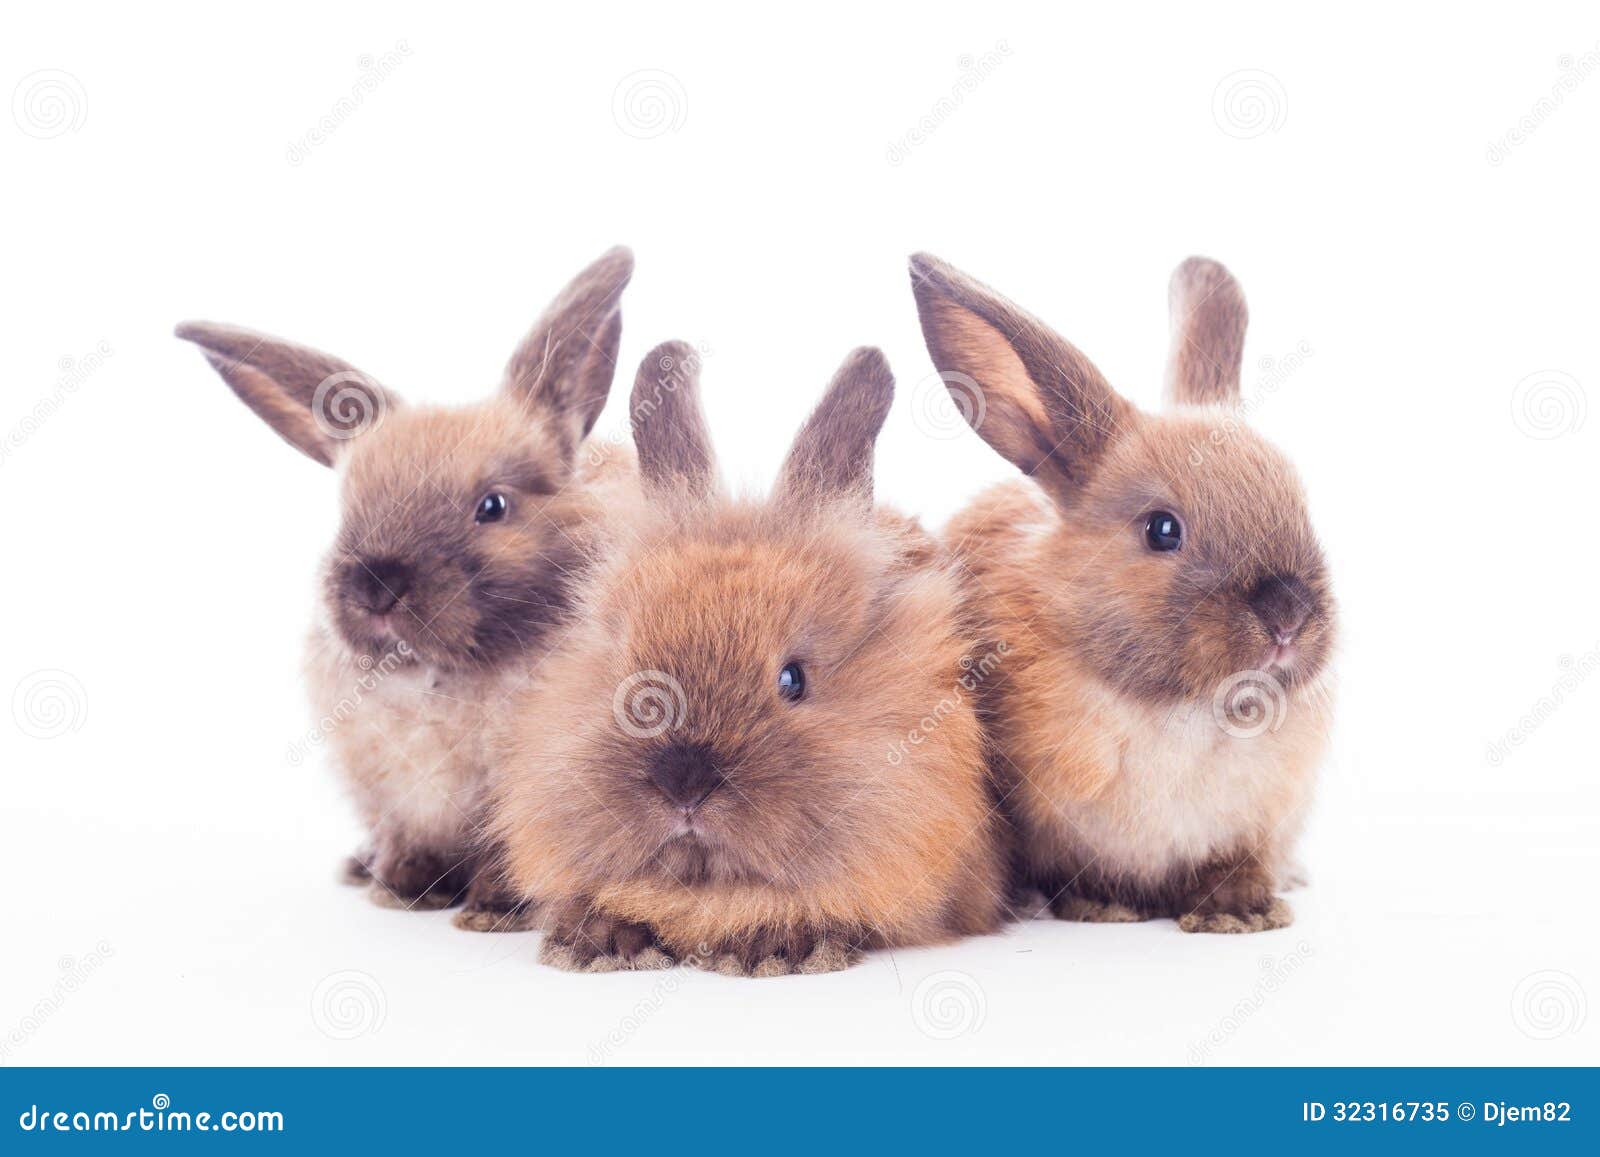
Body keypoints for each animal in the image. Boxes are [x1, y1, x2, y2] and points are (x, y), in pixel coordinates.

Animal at [175, 247, 641, 926]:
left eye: (493, 506)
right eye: (347, 509)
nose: (377, 586)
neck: (435, 674)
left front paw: (490, 911)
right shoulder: (394, 797)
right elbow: (408, 839)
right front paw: (402, 890)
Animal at [908, 252, 1335, 934]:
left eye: (1301, 505)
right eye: (1163, 529)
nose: (1288, 617)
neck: (1186, 714)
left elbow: (1235, 864)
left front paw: (1242, 911)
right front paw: (1103, 905)